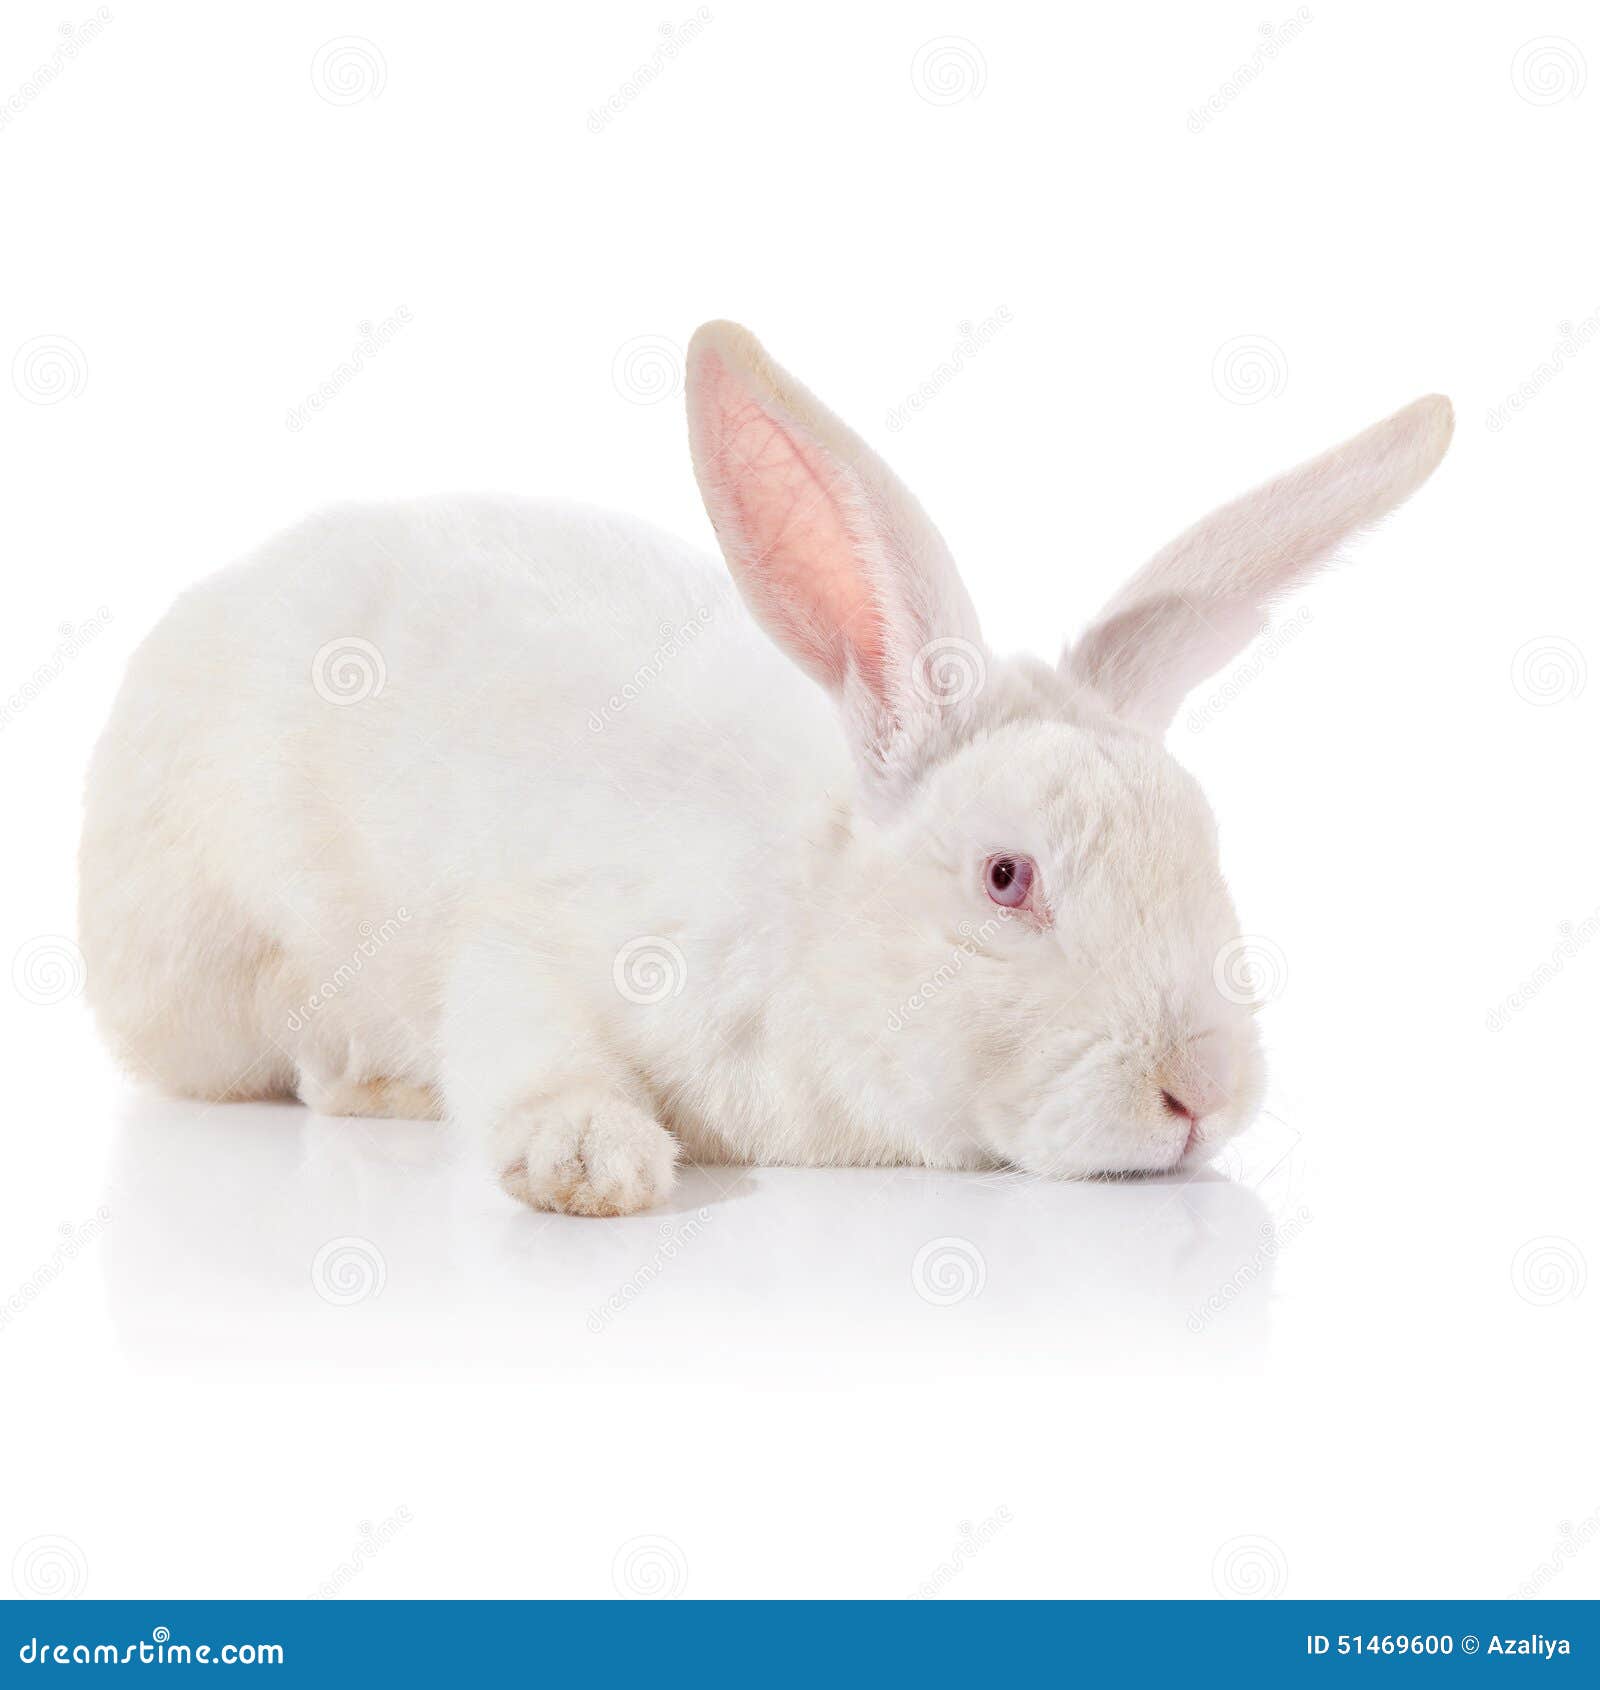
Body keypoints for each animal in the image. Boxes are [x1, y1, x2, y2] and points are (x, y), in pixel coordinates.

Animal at [79, 322, 1452, 1216]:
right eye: (1005, 877)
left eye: (1209, 847)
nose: (1199, 1093)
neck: (816, 913)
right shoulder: (538, 946)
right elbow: (526, 1042)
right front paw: (591, 1161)